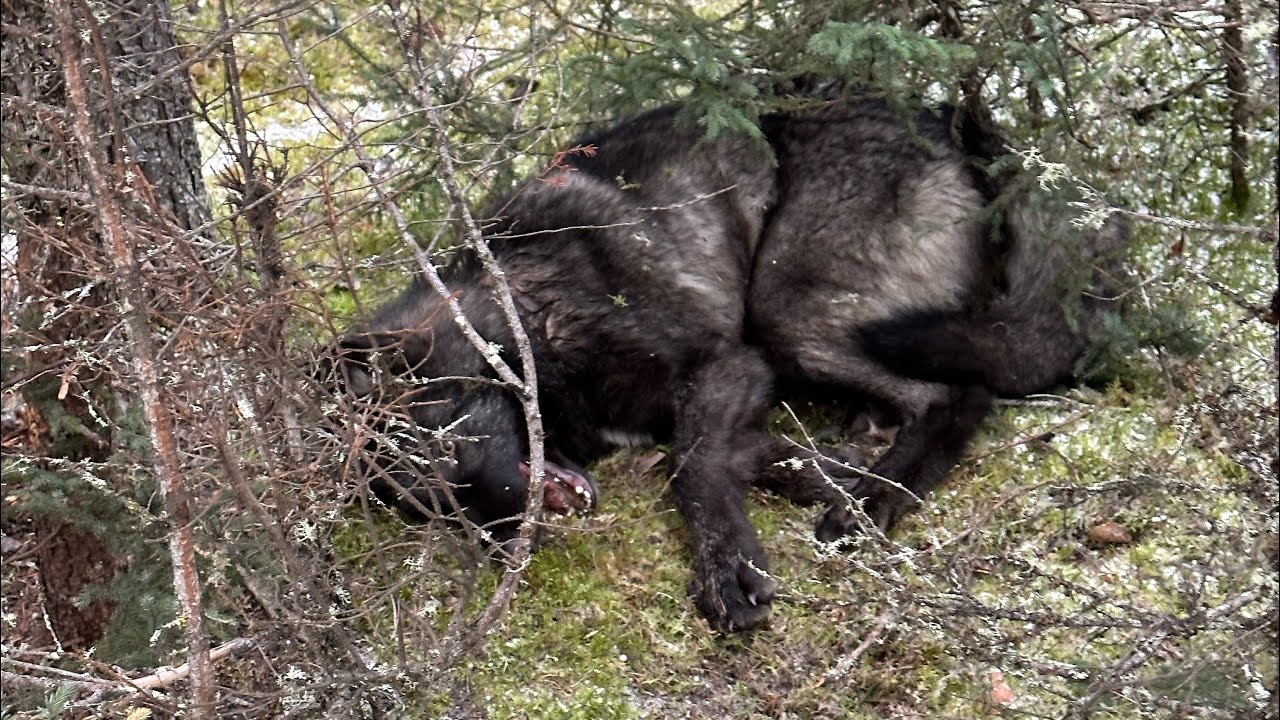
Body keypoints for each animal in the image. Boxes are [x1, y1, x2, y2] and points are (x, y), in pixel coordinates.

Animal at [333, 98, 1124, 631]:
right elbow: (755, 454)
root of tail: (947, 123)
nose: (503, 541)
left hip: (789, 313)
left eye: (441, 444)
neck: (519, 312)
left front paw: (729, 568)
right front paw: (826, 470)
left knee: (957, 395)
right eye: (419, 503)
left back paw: (876, 499)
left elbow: (693, 463)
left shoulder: (727, 366)